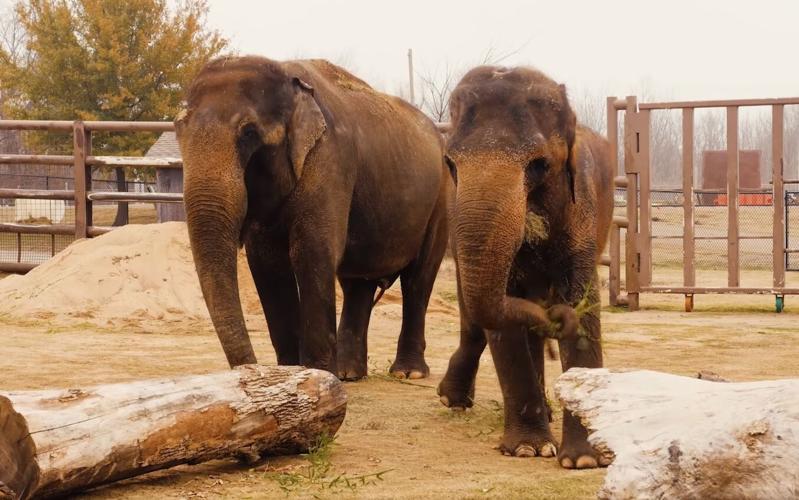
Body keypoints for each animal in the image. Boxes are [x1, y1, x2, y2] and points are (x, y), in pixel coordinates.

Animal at [175, 56, 451, 380]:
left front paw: (318, 376)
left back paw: (407, 374)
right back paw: (348, 373)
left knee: (418, 279)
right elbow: (268, 265)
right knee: (358, 282)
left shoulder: (329, 159)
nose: (252, 369)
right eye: (178, 128)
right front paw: (294, 377)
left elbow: (312, 252)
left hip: (441, 199)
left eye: (249, 133)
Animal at [436, 66, 614, 469]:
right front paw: (528, 449)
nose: (556, 317)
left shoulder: (581, 211)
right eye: (451, 164)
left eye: (539, 164)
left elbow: (584, 304)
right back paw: (453, 398)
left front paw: (583, 460)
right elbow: (504, 321)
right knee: (477, 319)